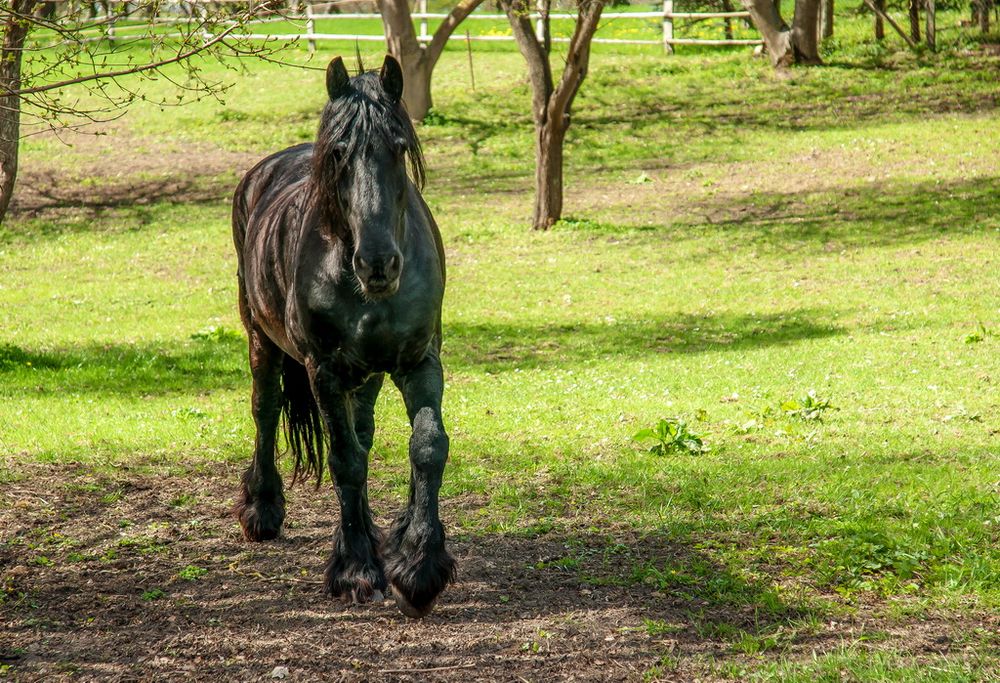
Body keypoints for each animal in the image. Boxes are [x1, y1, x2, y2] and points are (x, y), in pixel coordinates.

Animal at [230, 55, 454, 618]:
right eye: (338, 154)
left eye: (399, 148)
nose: (378, 263)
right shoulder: (324, 371)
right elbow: (345, 460)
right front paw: (355, 569)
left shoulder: (419, 362)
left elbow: (427, 446)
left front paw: (418, 567)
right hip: (261, 339)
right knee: (266, 411)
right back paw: (262, 508)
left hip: (368, 374)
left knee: (364, 431)